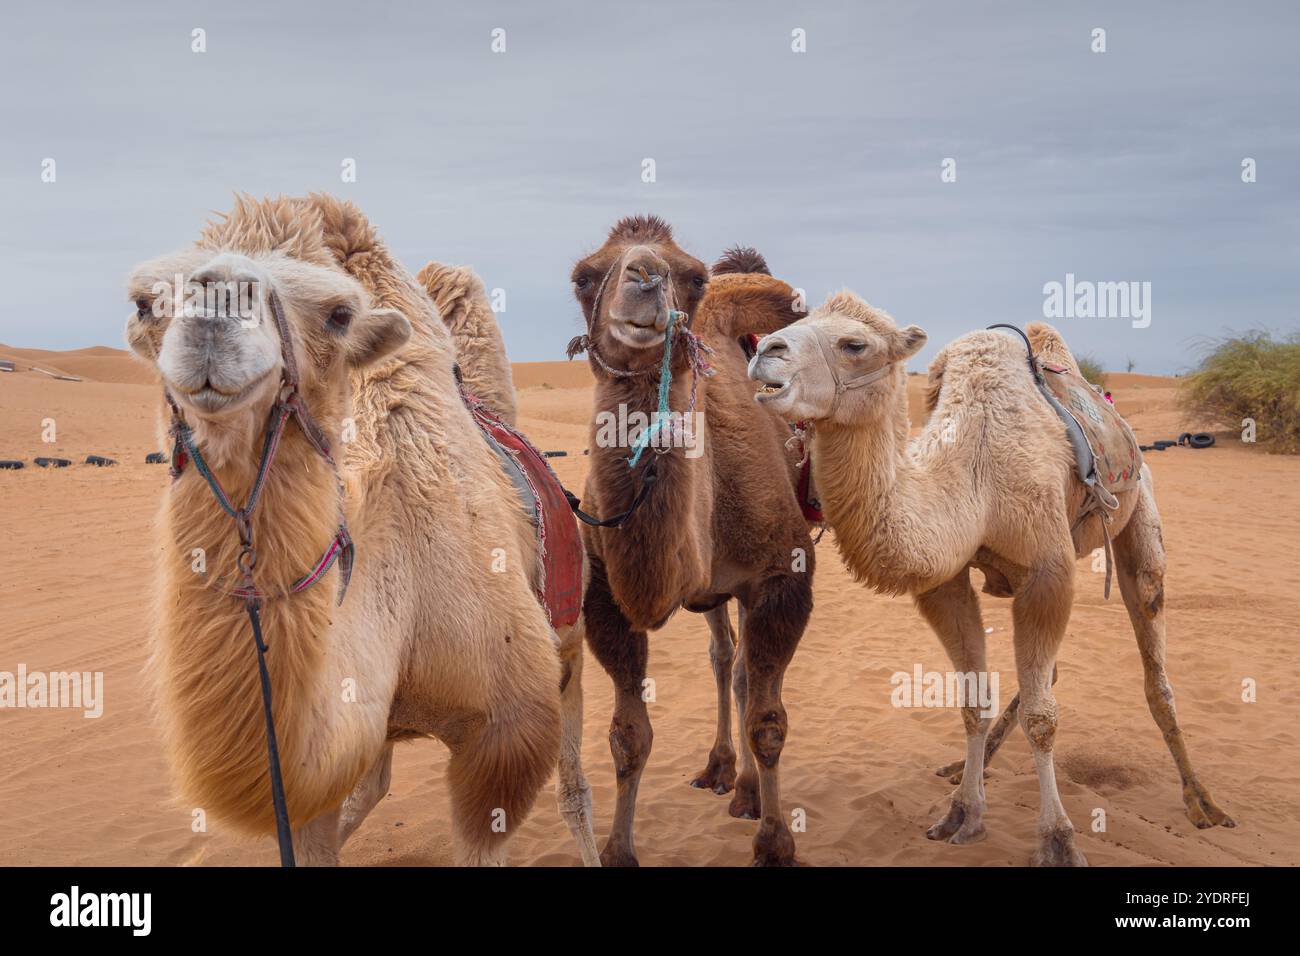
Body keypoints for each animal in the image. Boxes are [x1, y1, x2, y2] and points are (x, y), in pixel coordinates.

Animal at [125, 193, 598, 866]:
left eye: (339, 313)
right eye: (144, 303)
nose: (217, 309)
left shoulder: (504, 740)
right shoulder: (312, 774)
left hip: (569, 639)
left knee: (575, 784)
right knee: (374, 780)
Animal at [569, 217, 815, 865]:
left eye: (695, 277)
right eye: (583, 276)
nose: (644, 279)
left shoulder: (783, 581)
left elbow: (769, 721)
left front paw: (774, 843)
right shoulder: (604, 596)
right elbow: (628, 736)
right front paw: (618, 849)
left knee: (746, 674)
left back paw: (748, 791)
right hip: (712, 594)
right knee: (725, 658)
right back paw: (720, 769)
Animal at [747, 292, 1234, 866]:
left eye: (854, 344)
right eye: (797, 322)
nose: (765, 350)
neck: (973, 475)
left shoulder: (1049, 571)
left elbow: (1044, 720)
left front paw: (1057, 839)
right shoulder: (947, 583)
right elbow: (972, 701)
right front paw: (964, 812)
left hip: (1140, 511)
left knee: (1154, 656)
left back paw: (1202, 801)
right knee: (1048, 675)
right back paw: (967, 768)